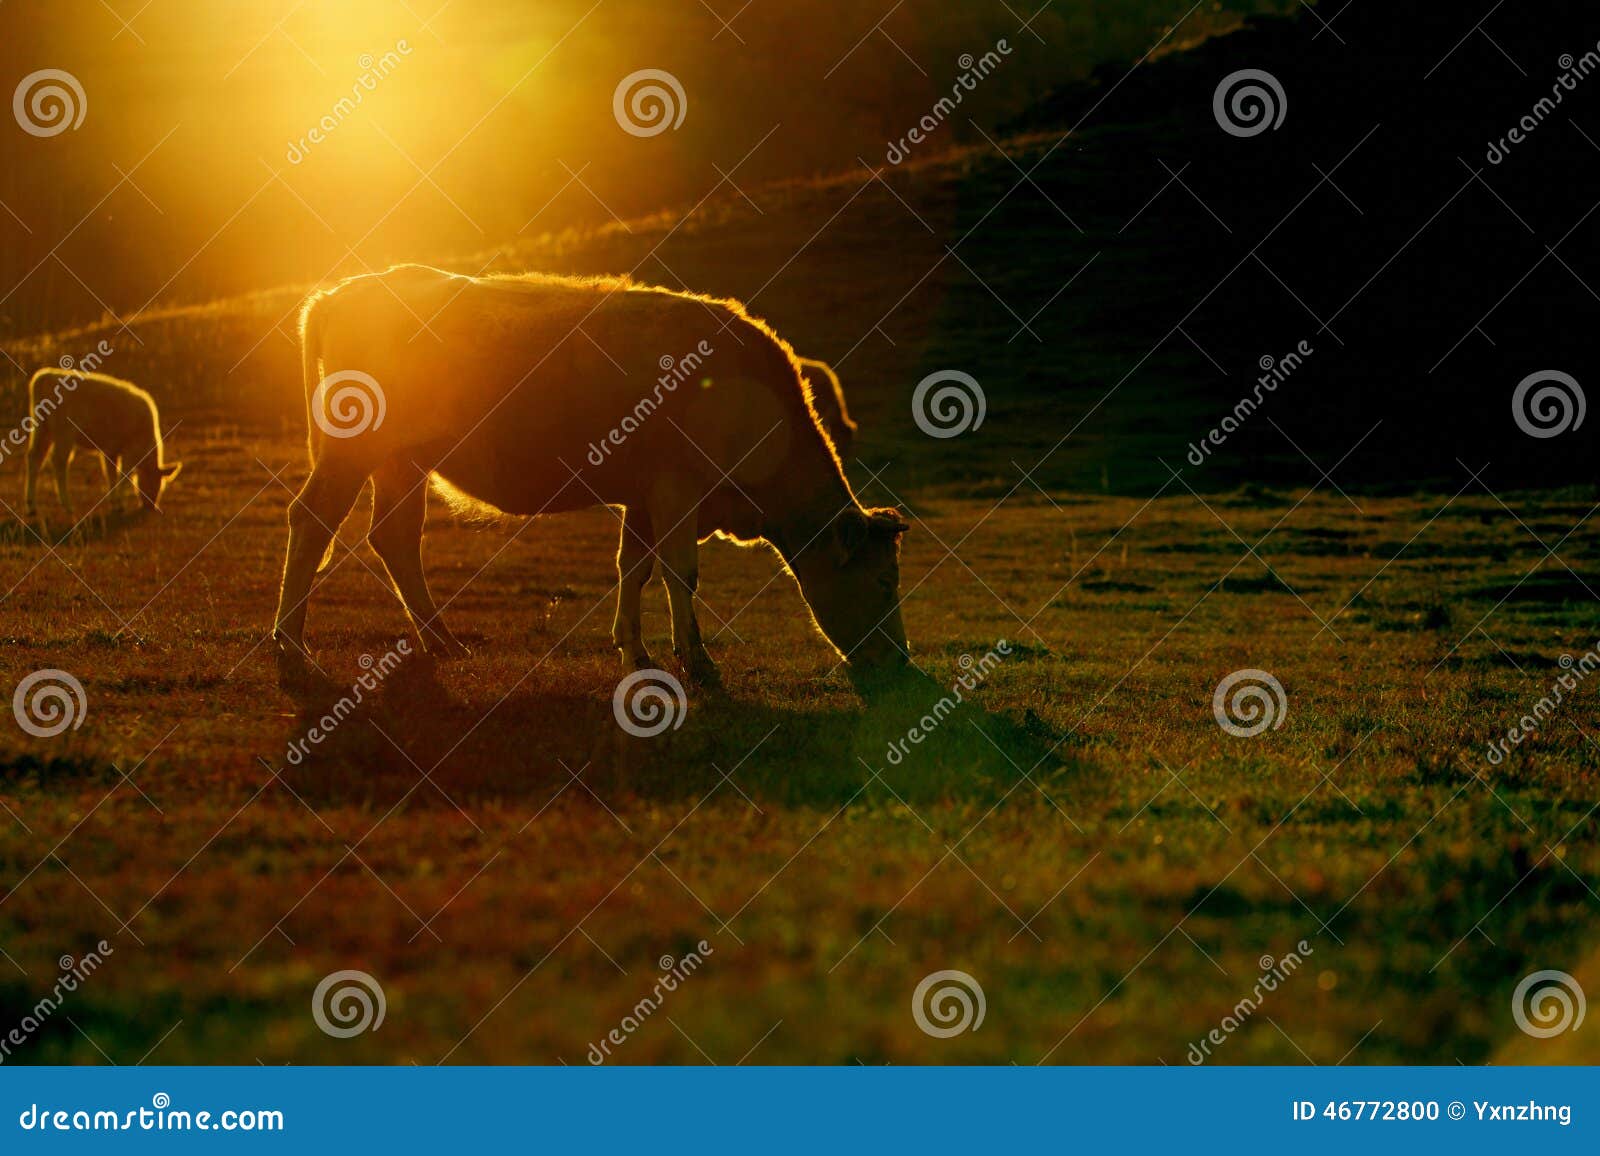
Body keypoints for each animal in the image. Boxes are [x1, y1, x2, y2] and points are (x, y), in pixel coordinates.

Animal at [22, 368, 182, 519]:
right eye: (157, 484)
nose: (151, 506)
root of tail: (46, 375)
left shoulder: (110, 450)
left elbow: (111, 475)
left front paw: (115, 503)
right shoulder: (129, 450)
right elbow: (123, 475)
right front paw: (120, 504)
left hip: (42, 430)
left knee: (35, 458)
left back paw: (31, 506)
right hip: (64, 433)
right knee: (58, 462)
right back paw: (67, 505)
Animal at [272, 264, 911, 696]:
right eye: (885, 583)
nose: (902, 661)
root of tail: (345, 289)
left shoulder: (645, 497)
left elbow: (635, 567)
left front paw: (634, 647)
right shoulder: (678, 489)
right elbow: (681, 572)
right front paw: (698, 662)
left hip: (402, 462)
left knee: (396, 537)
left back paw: (442, 641)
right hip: (354, 451)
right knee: (312, 520)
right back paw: (292, 645)